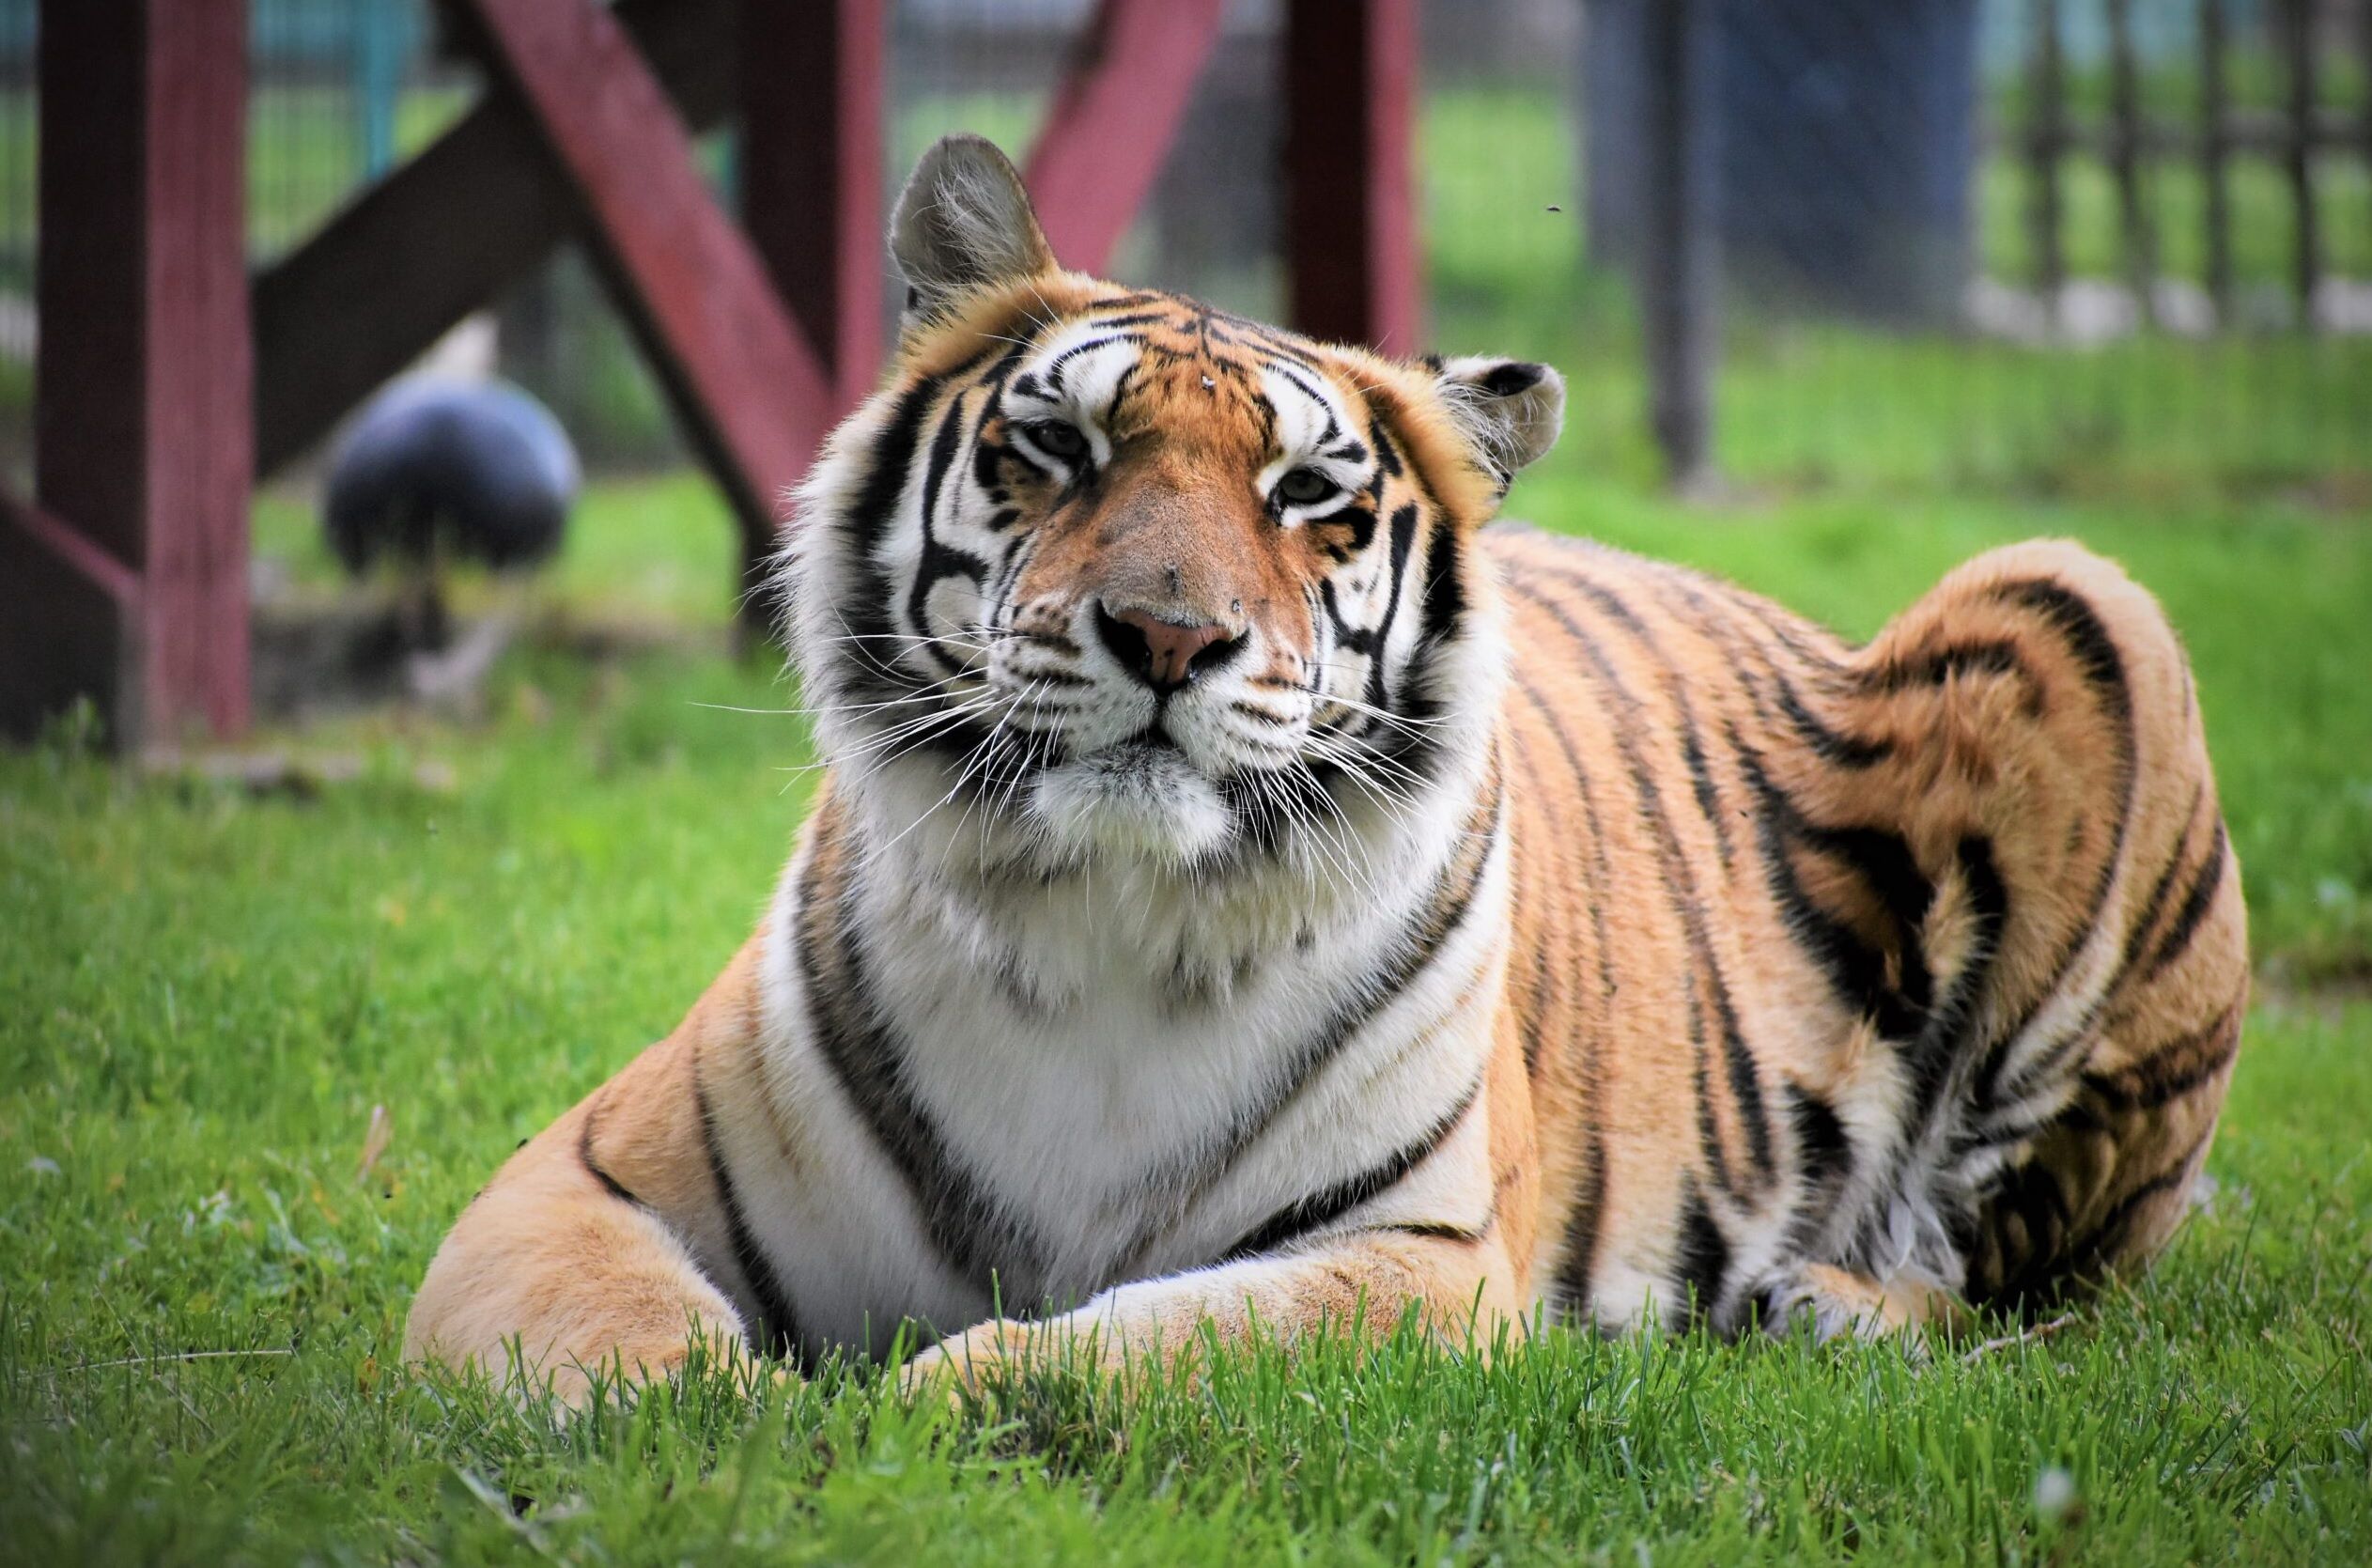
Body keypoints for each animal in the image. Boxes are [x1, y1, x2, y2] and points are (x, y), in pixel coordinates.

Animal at [404, 135, 2247, 1402]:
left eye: (1310, 498)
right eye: (1055, 443)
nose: (1167, 636)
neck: (1100, 921)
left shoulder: (1413, 1262)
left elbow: (1110, 1344)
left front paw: (917, 1402)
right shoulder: (579, 1173)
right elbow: (602, 1338)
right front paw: (710, 1426)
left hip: (2080, 602)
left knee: (2023, 1279)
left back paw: (1828, 1300)